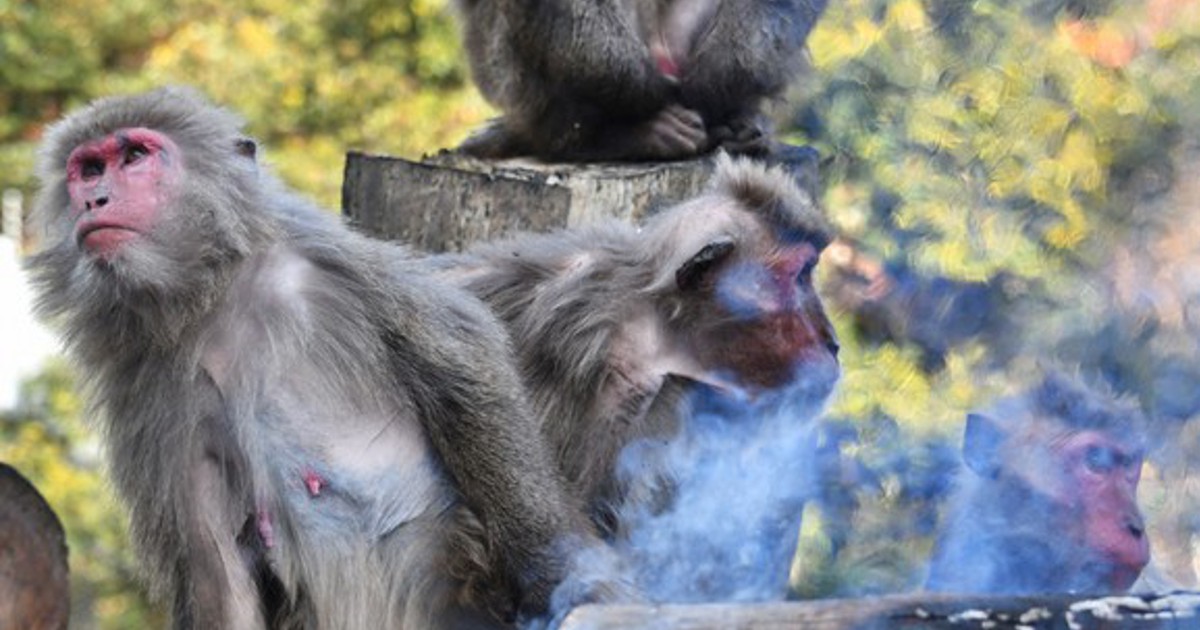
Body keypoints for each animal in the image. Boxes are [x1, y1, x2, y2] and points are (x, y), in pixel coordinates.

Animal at [25, 86, 629, 629]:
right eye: (88, 169)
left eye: (134, 157)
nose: (94, 200)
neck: (212, 299)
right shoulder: (145, 380)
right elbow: (214, 563)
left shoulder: (327, 262)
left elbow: (464, 369)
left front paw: (552, 571)